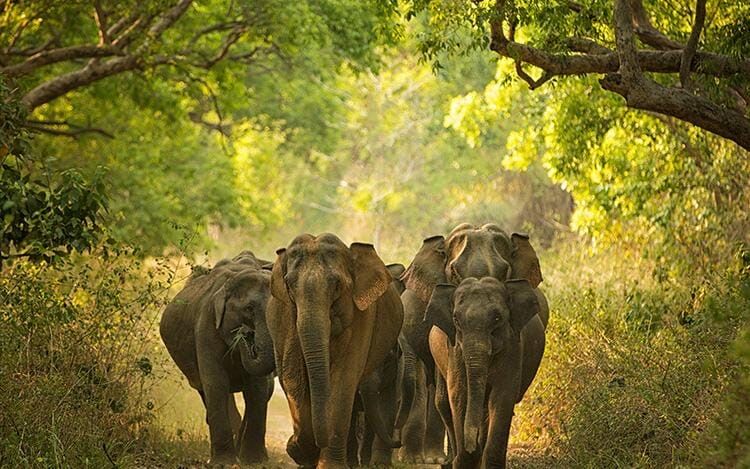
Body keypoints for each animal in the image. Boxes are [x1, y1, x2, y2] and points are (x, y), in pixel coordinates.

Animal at [160, 251, 275, 465]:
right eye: (248, 309)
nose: (246, 334)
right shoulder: (206, 325)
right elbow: (216, 383)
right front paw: (223, 463)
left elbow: (257, 389)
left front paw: (254, 462)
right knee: (205, 389)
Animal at [267, 233, 404, 469]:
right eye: (289, 285)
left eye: (337, 285)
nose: (291, 443)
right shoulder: (286, 318)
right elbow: (293, 376)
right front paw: (300, 451)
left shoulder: (362, 316)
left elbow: (344, 378)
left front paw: (326, 463)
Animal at [426, 277, 547, 468]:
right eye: (456, 320)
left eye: (497, 318)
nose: (471, 445)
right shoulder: (455, 351)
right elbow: (459, 395)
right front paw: (466, 458)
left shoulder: (513, 347)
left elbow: (502, 396)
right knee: (443, 403)